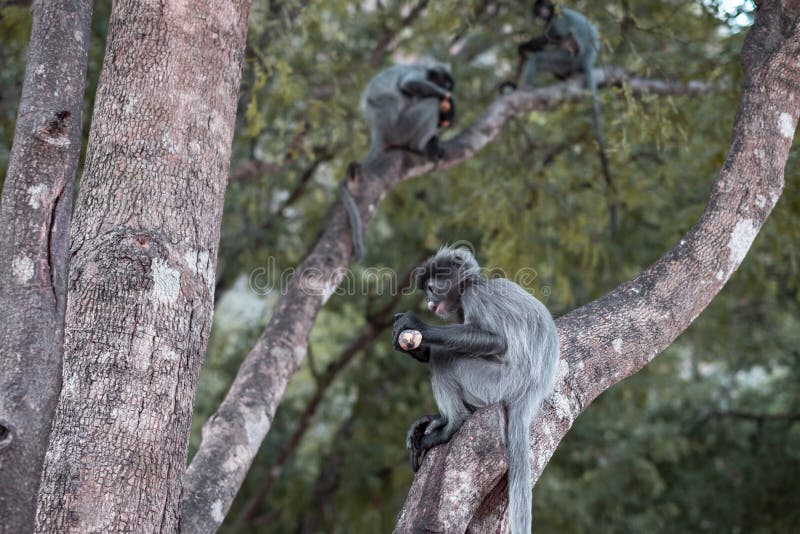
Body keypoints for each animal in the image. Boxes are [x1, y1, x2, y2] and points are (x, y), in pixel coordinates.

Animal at [392, 246, 559, 533]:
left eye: (432, 289)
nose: (429, 303)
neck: (473, 284)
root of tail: (531, 390)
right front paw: (416, 347)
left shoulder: (474, 298)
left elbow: (497, 341)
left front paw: (419, 326)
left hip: (495, 383)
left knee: (445, 356)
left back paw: (452, 423)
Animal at [501, 1, 618, 234]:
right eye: (539, 10)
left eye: (545, 10)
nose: (542, 14)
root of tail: (588, 61)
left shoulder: (557, 21)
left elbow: (553, 37)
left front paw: (524, 47)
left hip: (567, 60)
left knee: (544, 56)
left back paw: (525, 87)